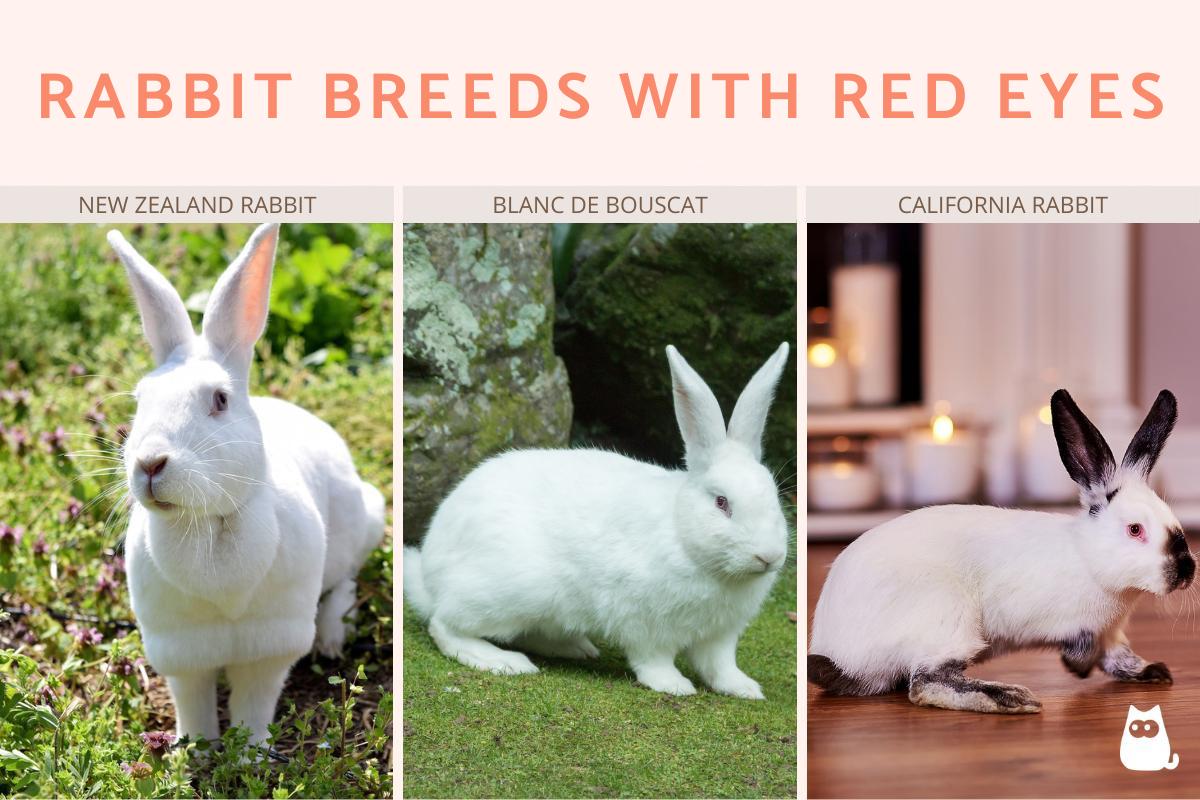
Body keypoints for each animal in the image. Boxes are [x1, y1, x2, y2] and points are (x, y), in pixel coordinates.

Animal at [111, 223, 386, 744]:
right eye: (139, 400)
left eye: (220, 400)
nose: (151, 463)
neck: (209, 523)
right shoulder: (181, 651)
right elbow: (195, 709)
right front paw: (195, 752)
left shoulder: (270, 645)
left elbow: (254, 711)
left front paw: (251, 754)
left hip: (364, 522)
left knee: (343, 582)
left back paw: (332, 640)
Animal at [404, 343, 791, 698]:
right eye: (722, 502)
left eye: (773, 496)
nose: (769, 556)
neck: (685, 538)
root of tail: (430, 575)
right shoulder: (644, 620)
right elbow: (653, 659)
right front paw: (674, 686)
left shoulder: (721, 635)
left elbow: (720, 666)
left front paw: (745, 689)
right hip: (506, 591)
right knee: (445, 626)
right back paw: (503, 660)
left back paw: (577, 648)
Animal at [809, 389, 1195, 714]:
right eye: (1135, 530)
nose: (1187, 570)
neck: (1088, 557)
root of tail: (837, 653)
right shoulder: (1071, 625)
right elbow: (1083, 650)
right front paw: (1077, 668)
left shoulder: (1111, 633)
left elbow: (1119, 659)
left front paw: (1154, 671)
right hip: (949, 621)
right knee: (925, 684)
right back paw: (1011, 698)